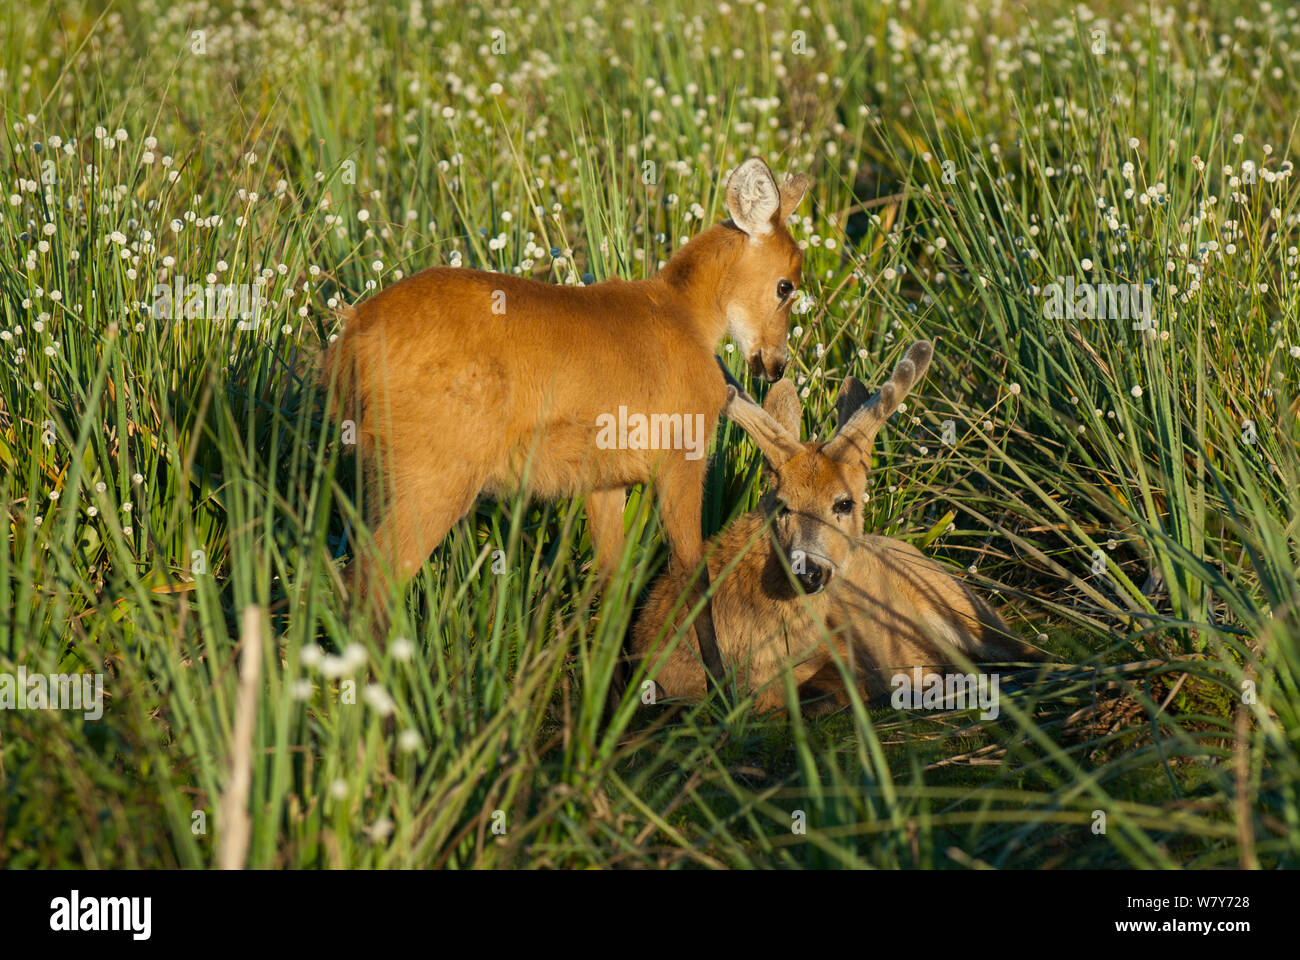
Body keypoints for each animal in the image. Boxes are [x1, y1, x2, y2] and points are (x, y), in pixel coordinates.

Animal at [323, 157, 810, 688]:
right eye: (786, 285)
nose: (775, 365)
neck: (684, 317)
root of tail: (355, 335)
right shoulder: (682, 462)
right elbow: (694, 575)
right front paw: (719, 689)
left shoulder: (604, 483)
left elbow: (615, 581)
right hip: (436, 481)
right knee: (368, 583)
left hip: (382, 478)